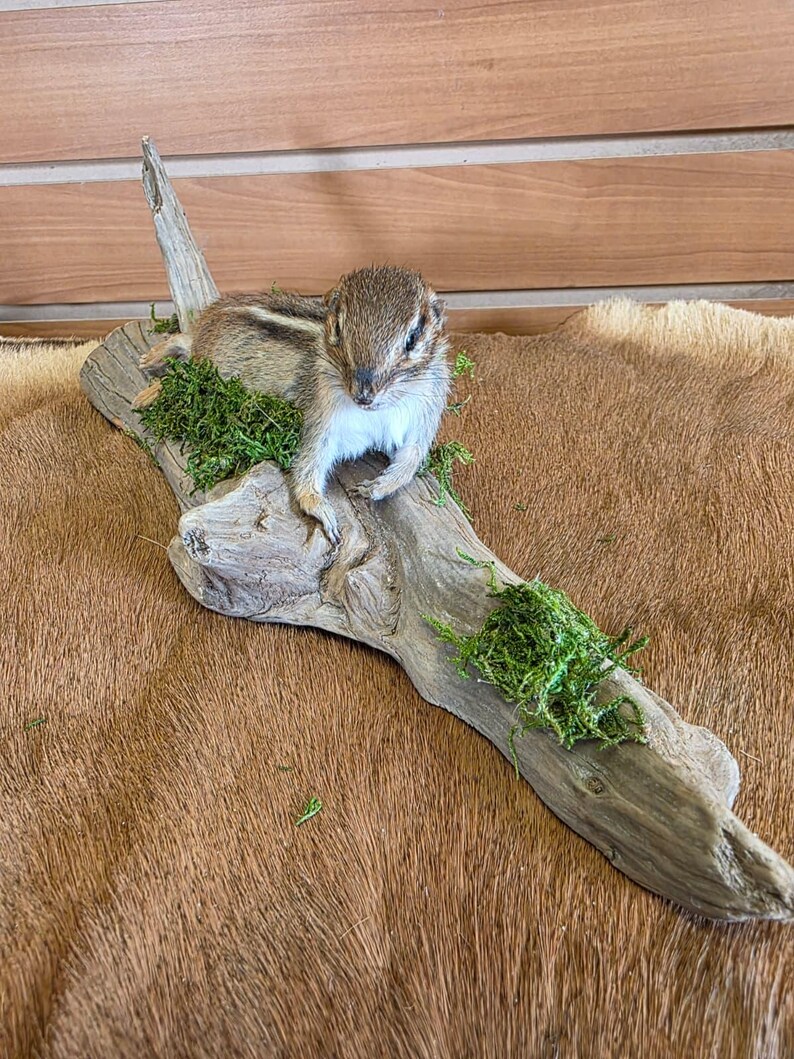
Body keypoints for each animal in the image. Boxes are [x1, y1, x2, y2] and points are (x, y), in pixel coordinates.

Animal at [134, 265, 451, 543]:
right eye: (338, 328)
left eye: (412, 337)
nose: (363, 394)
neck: (381, 408)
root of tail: (213, 315)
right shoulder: (322, 420)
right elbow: (308, 465)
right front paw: (321, 510)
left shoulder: (426, 415)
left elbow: (411, 458)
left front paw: (377, 487)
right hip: (208, 362)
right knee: (185, 355)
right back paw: (149, 381)